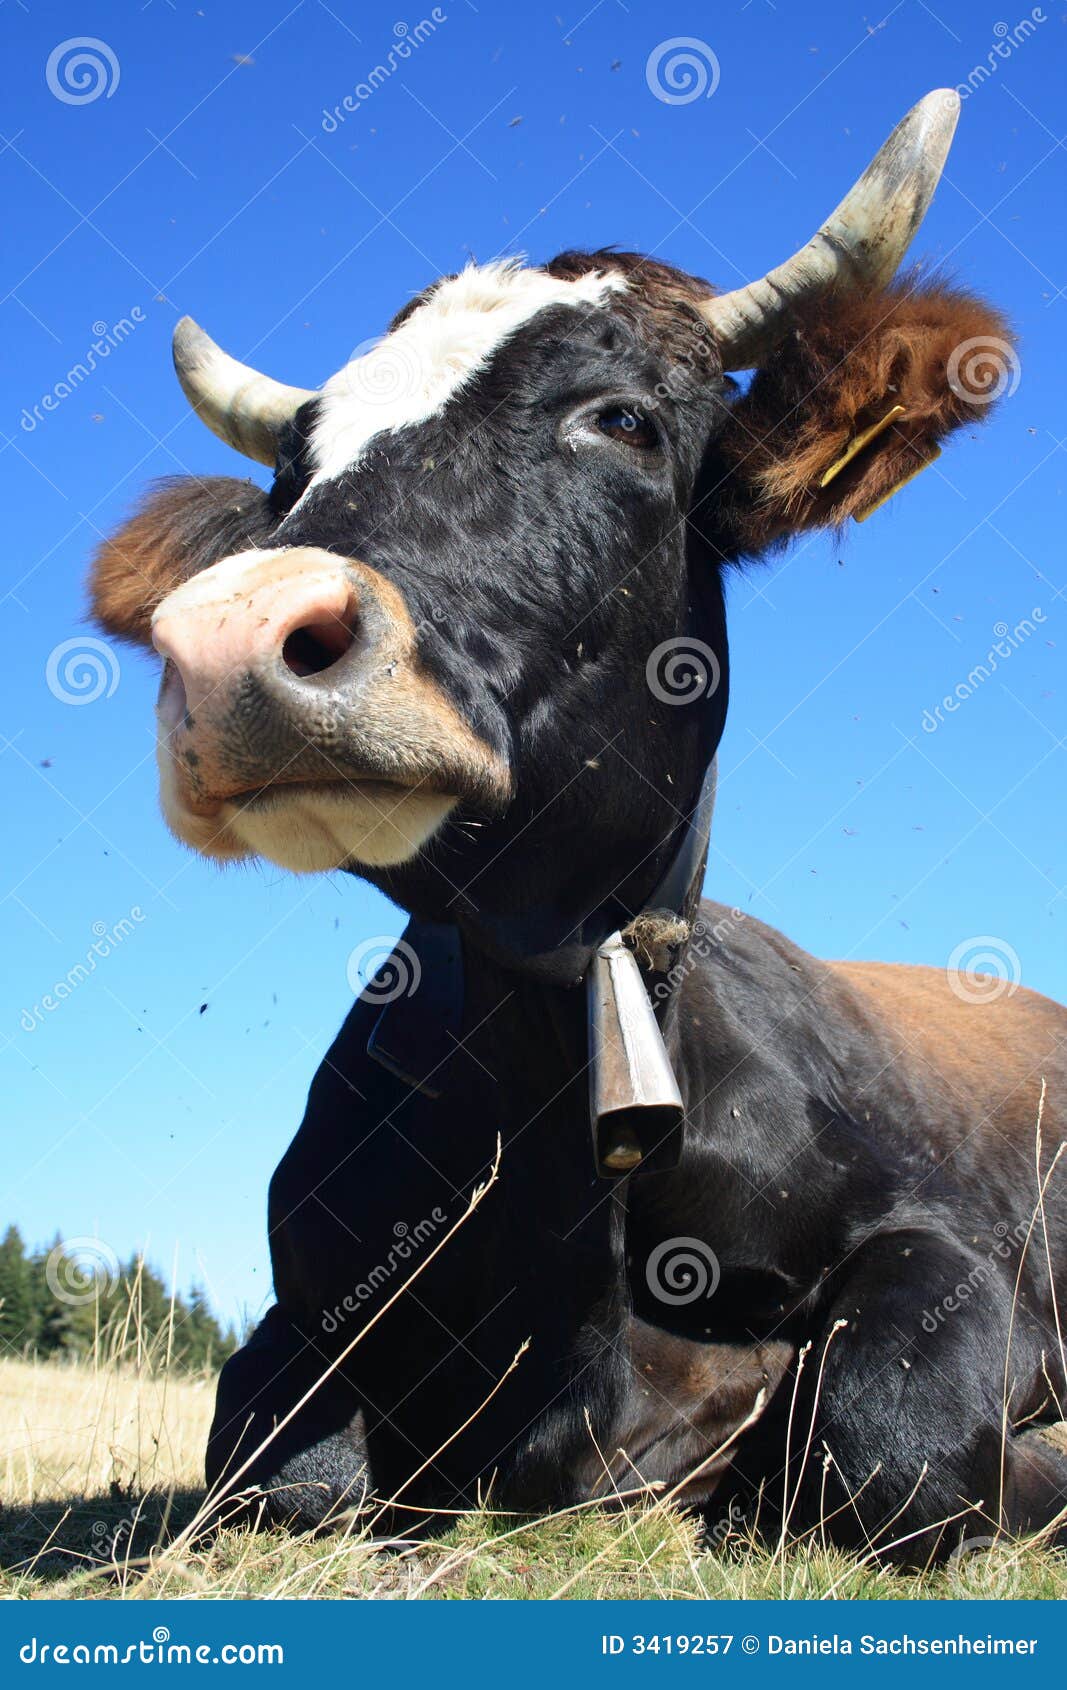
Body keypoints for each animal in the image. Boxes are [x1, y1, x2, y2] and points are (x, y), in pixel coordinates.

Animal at [91, 91, 1067, 1564]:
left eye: (622, 420)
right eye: (283, 483)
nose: (228, 636)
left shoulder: (953, 1241)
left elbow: (881, 1441)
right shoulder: (302, 1297)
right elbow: (281, 1468)